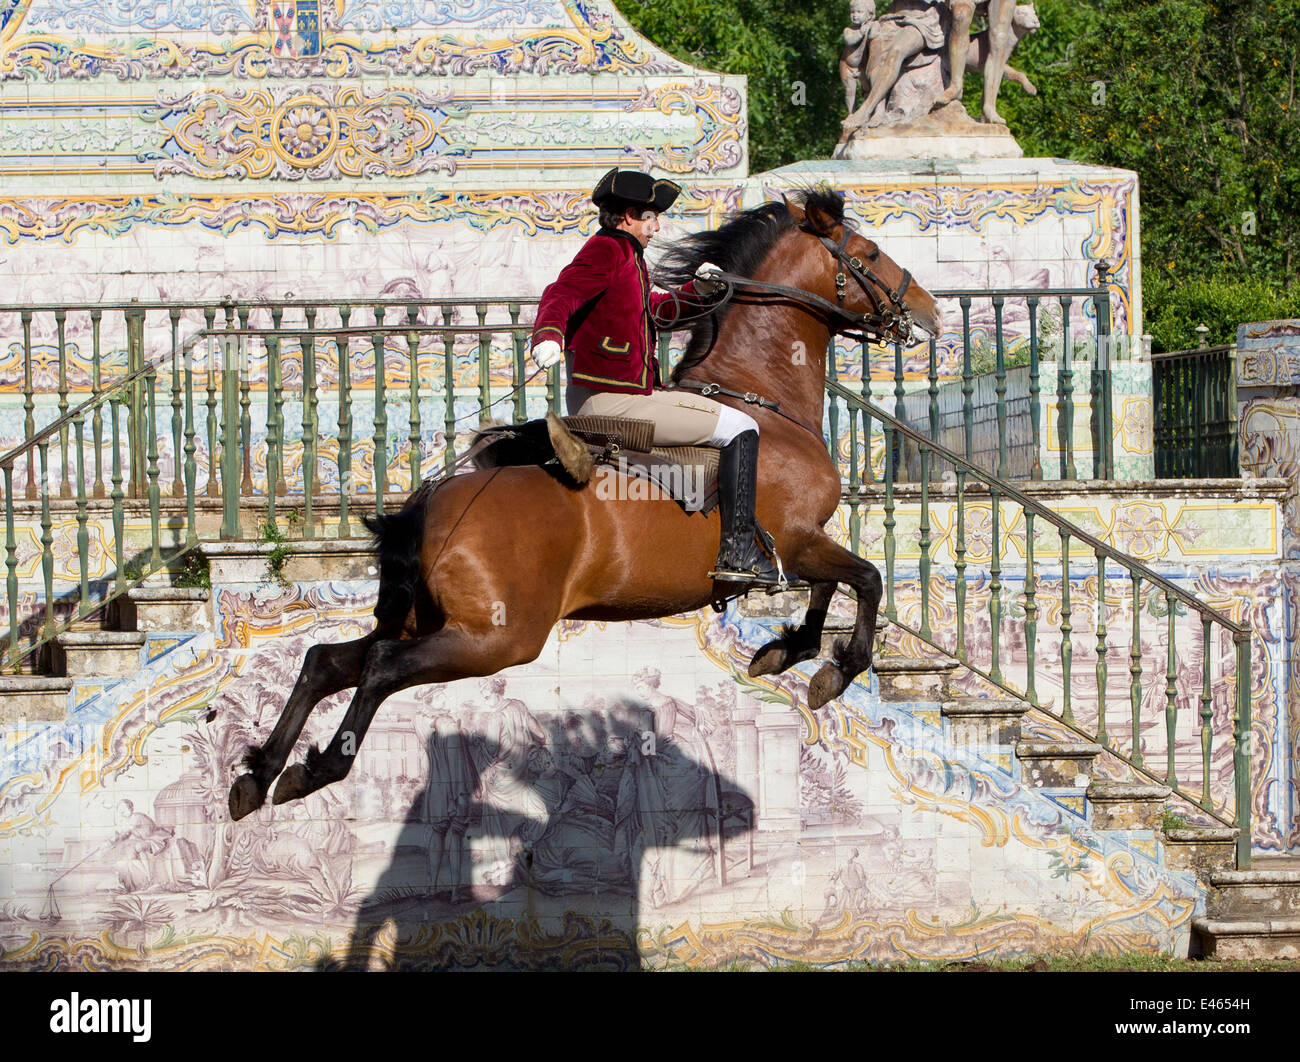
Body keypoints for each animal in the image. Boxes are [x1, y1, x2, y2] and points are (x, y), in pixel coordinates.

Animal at [228, 186, 940, 820]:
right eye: (870, 254)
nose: (928, 313)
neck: (761, 397)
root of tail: (432, 502)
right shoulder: (797, 540)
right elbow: (866, 581)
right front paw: (830, 670)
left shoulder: (806, 543)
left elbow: (833, 590)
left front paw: (790, 650)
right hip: (495, 638)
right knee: (376, 669)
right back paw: (317, 769)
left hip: (427, 622)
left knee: (325, 662)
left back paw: (258, 775)